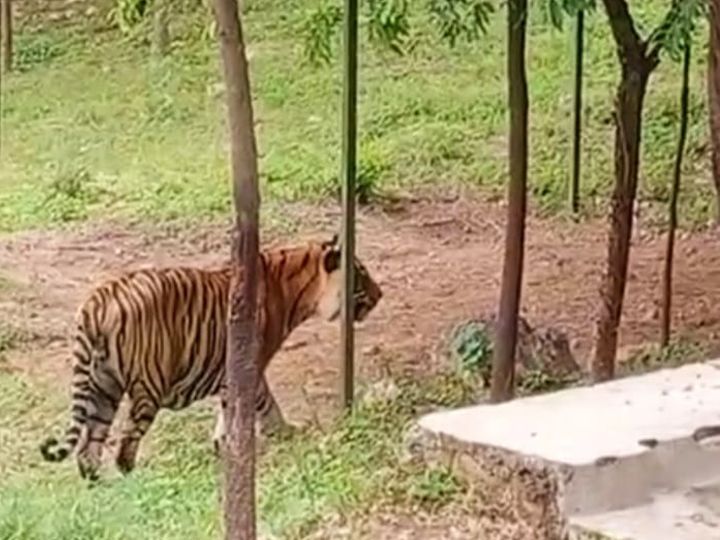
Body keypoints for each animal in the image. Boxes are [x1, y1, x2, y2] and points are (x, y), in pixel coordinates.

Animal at [39, 235, 382, 480]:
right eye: (361, 273)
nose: (380, 295)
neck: (300, 288)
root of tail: (99, 298)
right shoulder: (249, 366)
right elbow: (254, 405)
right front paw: (246, 443)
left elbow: (245, 407)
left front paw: (255, 437)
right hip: (147, 385)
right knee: (125, 442)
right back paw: (132, 478)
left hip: (103, 384)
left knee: (89, 446)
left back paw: (97, 483)